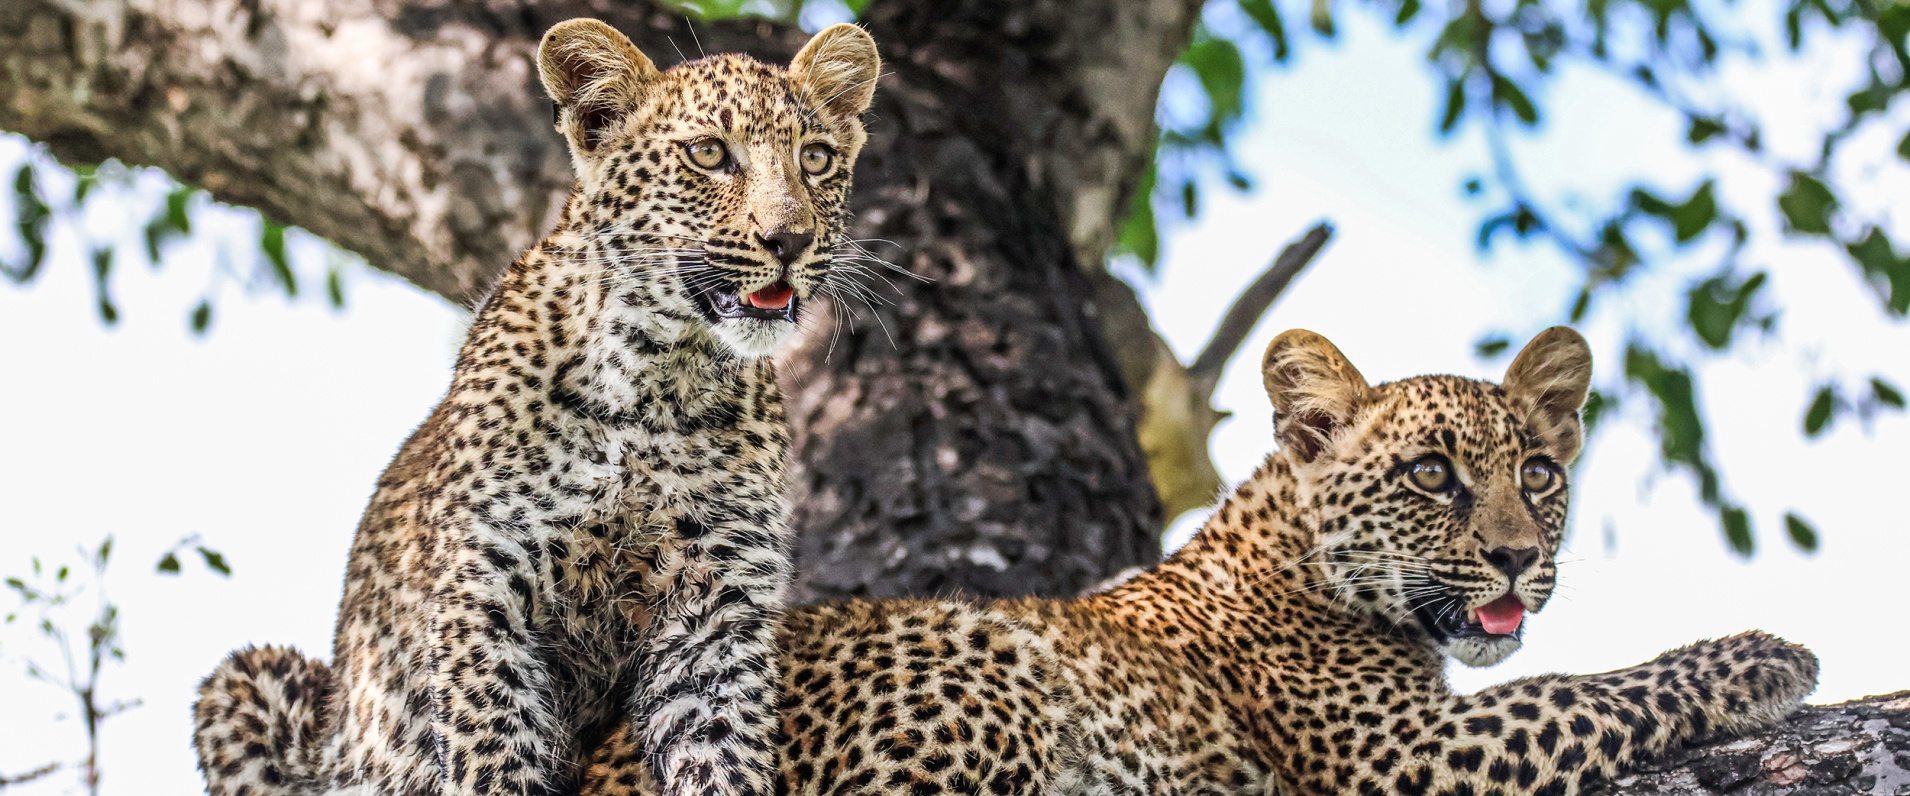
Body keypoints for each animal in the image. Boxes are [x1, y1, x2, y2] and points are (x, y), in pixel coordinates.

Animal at [191, 18, 881, 796]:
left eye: (816, 159)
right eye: (709, 154)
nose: (790, 240)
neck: (659, 381)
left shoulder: (715, 613)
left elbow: (722, 759)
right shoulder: (484, 596)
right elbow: (493, 759)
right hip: (252, 688)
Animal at [577, 326, 1819, 796]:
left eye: (1540, 473)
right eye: (1430, 474)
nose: (1516, 559)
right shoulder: (1395, 750)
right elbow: (1588, 686)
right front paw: (1761, 656)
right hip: (982, 658)